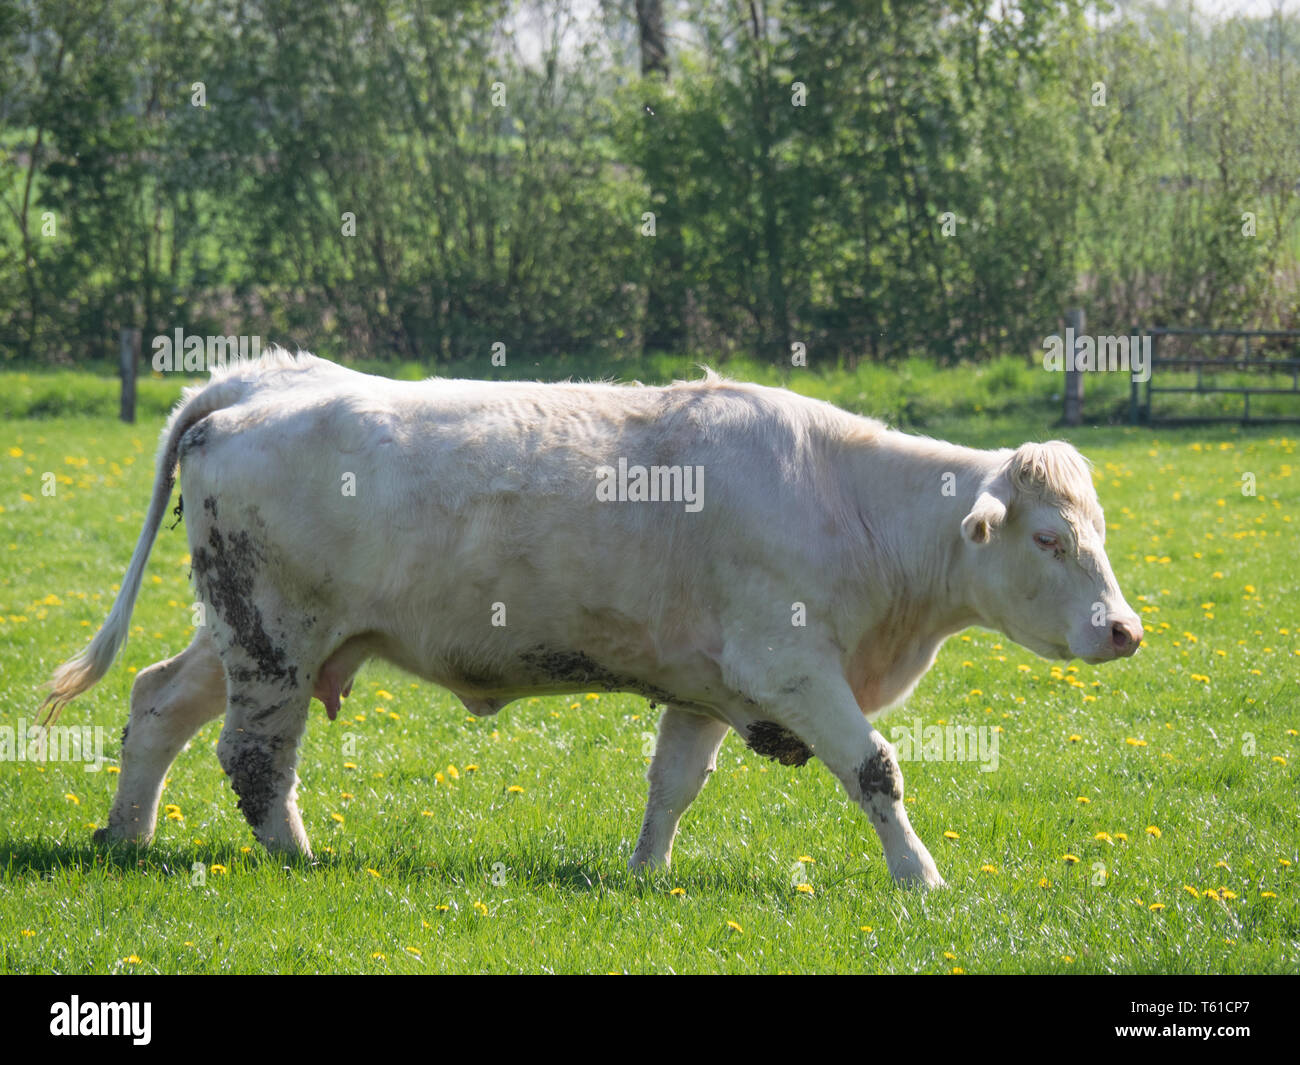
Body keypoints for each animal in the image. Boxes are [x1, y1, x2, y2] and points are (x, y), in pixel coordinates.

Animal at [41, 349, 1142, 888]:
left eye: (1096, 528)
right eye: (1050, 538)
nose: (1124, 629)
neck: (846, 499)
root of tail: (259, 380)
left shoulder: (714, 684)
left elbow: (673, 784)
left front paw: (647, 874)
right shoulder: (790, 666)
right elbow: (875, 769)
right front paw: (920, 876)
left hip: (241, 636)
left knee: (156, 705)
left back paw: (126, 837)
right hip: (273, 640)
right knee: (253, 757)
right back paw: (299, 858)